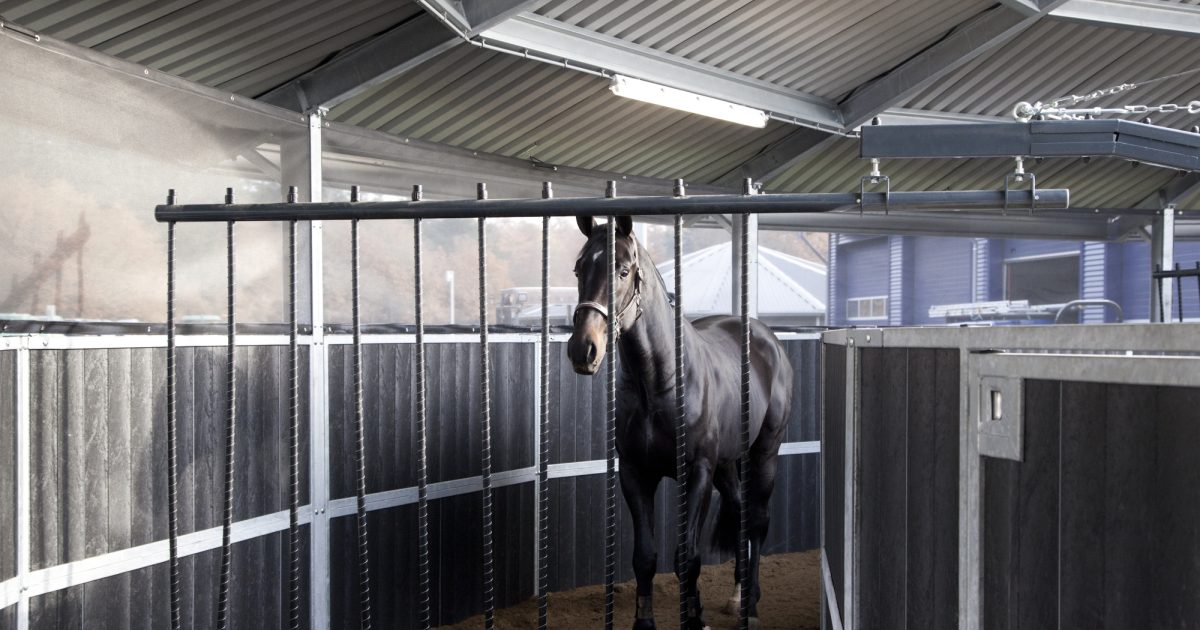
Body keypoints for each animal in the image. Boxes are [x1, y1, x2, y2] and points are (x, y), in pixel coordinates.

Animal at [566, 215, 793, 630]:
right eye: (579, 269)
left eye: (623, 271)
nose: (583, 349)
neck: (660, 380)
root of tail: (766, 340)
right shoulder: (636, 473)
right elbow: (645, 557)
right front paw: (648, 622)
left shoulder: (697, 471)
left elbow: (687, 556)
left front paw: (694, 618)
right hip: (727, 463)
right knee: (738, 510)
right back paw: (737, 596)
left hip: (765, 452)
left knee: (757, 520)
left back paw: (751, 605)